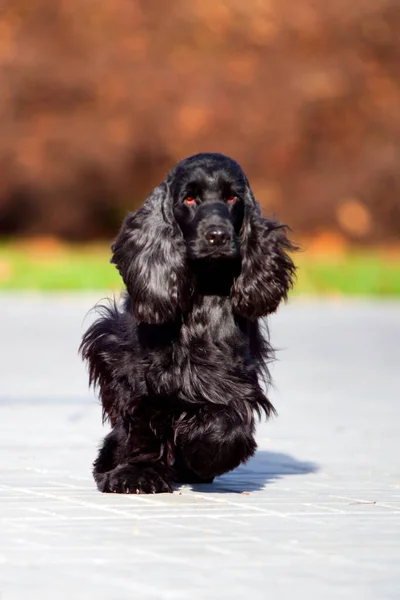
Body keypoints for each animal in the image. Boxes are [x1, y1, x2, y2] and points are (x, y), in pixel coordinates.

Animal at [79, 154, 296, 492]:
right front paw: (137, 474)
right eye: (190, 198)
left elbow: (227, 421)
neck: (206, 287)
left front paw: (203, 455)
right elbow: (142, 427)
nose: (217, 236)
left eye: (232, 197)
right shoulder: (137, 372)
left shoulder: (233, 377)